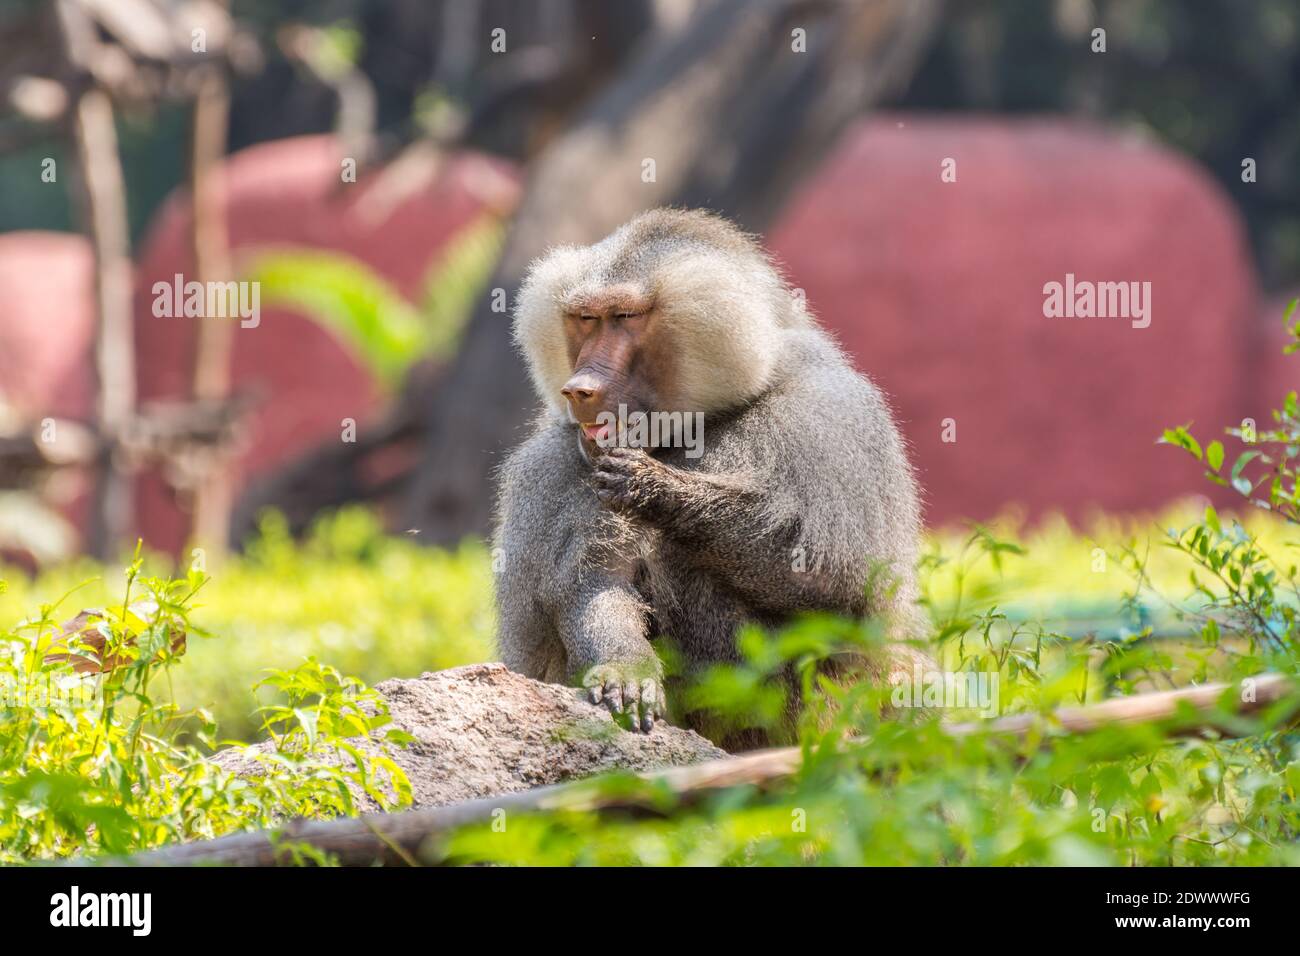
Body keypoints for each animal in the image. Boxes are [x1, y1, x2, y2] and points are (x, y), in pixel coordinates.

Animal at [493, 208, 929, 746]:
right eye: (585, 319)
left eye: (625, 318)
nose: (579, 389)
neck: (696, 427)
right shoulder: (557, 464)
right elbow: (592, 582)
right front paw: (627, 673)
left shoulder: (829, 419)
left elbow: (834, 581)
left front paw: (655, 488)